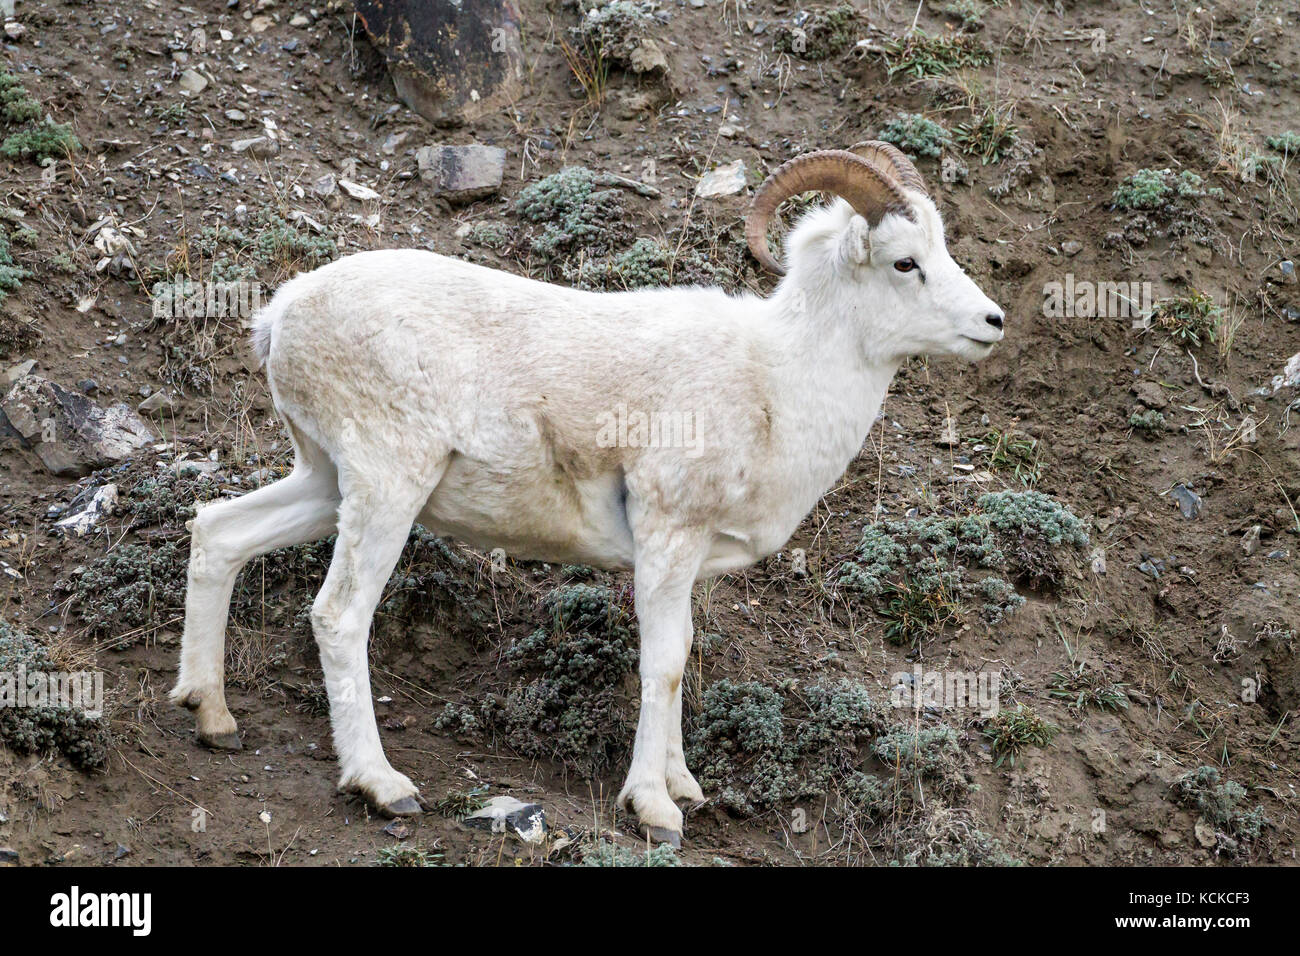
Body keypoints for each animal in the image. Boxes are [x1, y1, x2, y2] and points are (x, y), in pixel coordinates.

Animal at [170, 142, 1005, 846]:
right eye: (905, 262)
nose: (991, 322)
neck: (775, 380)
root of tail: (282, 315)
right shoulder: (666, 538)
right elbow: (663, 665)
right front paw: (657, 811)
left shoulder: (688, 564)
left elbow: (683, 660)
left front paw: (682, 784)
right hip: (387, 489)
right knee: (339, 615)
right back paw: (384, 786)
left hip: (323, 484)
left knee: (219, 533)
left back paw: (212, 716)